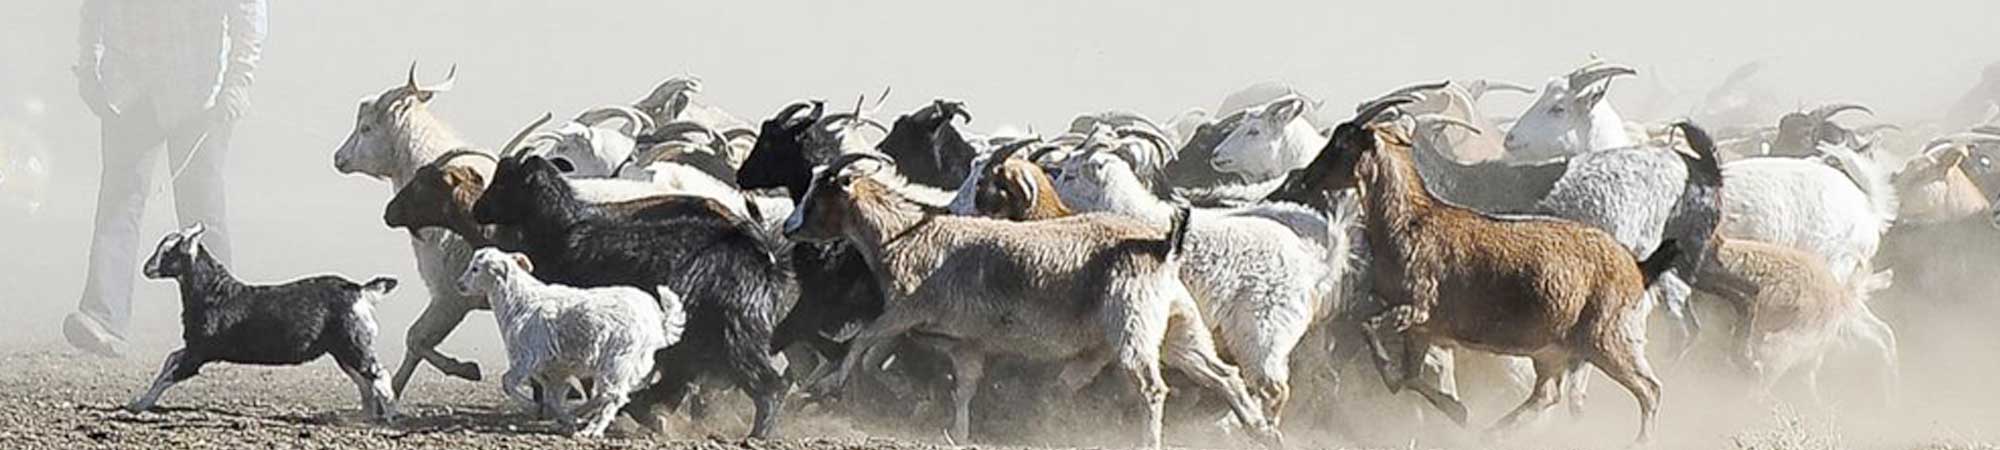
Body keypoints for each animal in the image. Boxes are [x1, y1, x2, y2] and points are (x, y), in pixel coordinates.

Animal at [128, 223, 401, 421]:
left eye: (168, 251)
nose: (147, 269)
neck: (214, 293)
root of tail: (360, 291)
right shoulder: (193, 345)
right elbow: (170, 359)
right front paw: (137, 403)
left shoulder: (199, 353)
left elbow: (170, 374)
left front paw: (140, 405)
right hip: (343, 350)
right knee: (365, 381)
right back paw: (365, 416)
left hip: (353, 344)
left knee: (379, 375)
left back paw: (390, 417)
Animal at [456, 248, 687, 437]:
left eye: (475, 269)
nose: (460, 284)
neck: (520, 301)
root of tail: (658, 323)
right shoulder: (554, 369)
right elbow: (553, 398)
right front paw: (566, 419)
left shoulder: (527, 357)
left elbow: (508, 382)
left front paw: (533, 408)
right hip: (631, 364)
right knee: (609, 394)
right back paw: (580, 416)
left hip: (618, 359)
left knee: (614, 396)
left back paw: (592, 430)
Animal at [785, 152, 1281, 449]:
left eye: (820, 193)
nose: (790, 228)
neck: (905, 236)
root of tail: (1162, 245)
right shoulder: (967, 341)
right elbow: (964, 386)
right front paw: (959, 432)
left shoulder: (909, 308)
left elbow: (862, 341)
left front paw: (825, 388)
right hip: (1178, 326)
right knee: (1224, 375)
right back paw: (1262, 430)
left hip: (1132, 325)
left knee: (1152, 387)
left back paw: (1152, 442)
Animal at [1270, 100, 1679, 444]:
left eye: (1343, 144)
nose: (1305, 177)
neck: (1412, 221)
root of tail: (1636, 268)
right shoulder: (1422, 329)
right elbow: (1411, 377)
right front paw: (1458, 411)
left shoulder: (1415, 308)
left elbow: (1371, 331)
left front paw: (1401, 381)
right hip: (1552, 350)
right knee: (1546, 395)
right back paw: (1492, 432)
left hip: (1608, 337)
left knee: (1650, 389)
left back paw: (1640, 441)